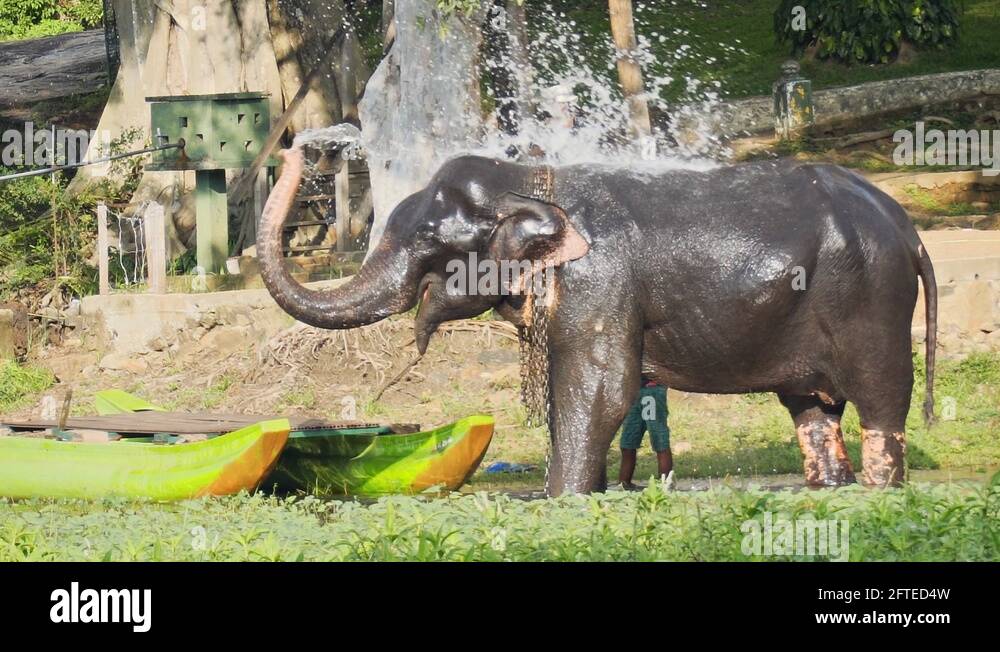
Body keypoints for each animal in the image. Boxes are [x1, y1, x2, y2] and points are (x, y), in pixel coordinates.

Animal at [259, 148, 937, 496]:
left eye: (429, 240)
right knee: (812, 412)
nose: (297, 149)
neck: (530, 182)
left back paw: (881, 490)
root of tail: (909, 231)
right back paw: (830, 489)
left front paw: (561, 501)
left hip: (874, 299)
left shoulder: (599, 282)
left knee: (881, 402)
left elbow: (602, 390)